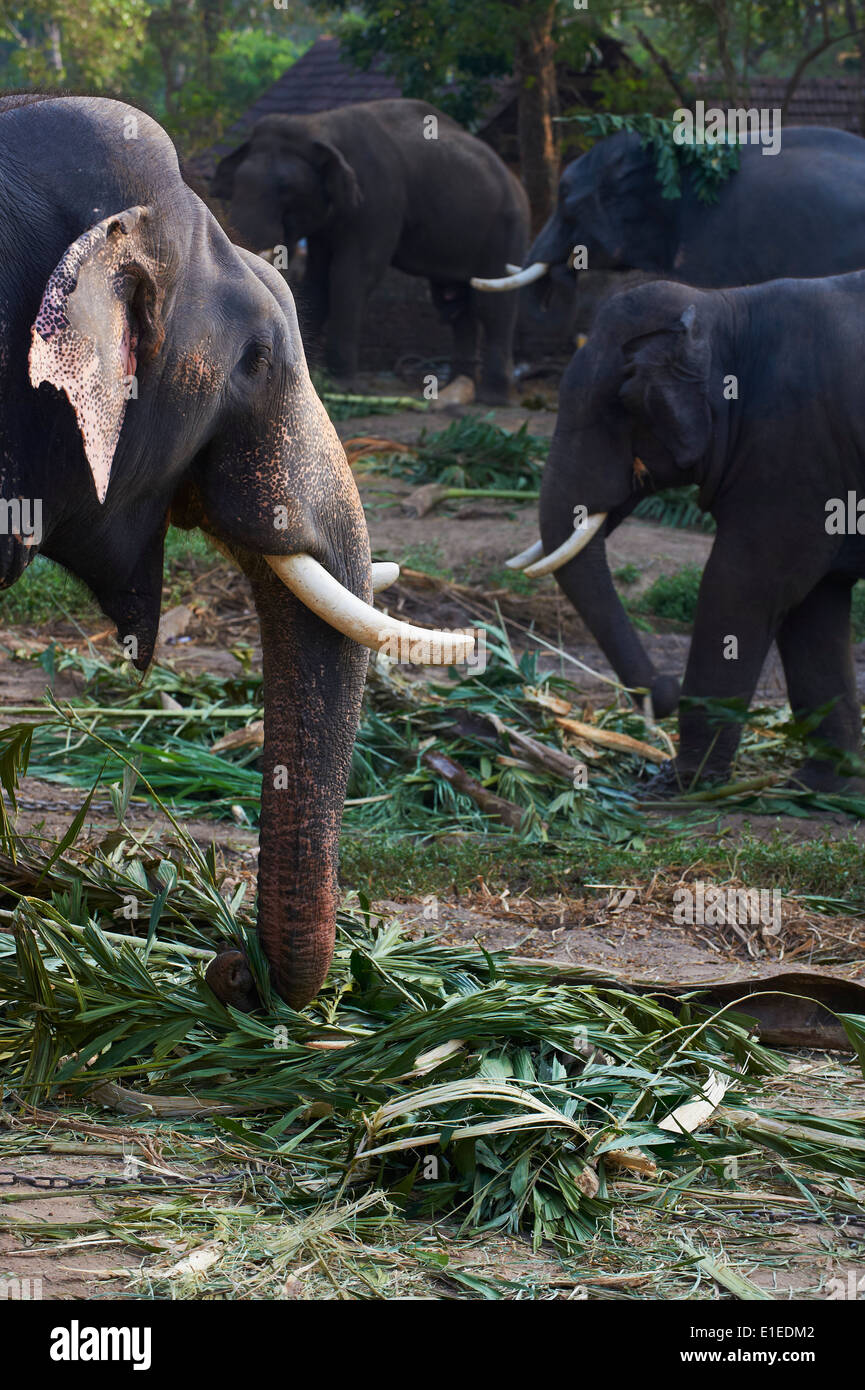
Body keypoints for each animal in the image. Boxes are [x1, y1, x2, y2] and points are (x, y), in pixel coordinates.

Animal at [211, 99, 529, 403]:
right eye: (236, 184)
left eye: (287, 190)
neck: (319, 123)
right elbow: (316, 282)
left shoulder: (378, 198)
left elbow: (352, 276)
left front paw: (340, 385)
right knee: (455, 303)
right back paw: (457, 389)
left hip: (508, 228)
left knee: (493, 304)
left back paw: (492, 399)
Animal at [506, 272, 865, 793]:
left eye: (625, 401)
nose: (661, 693)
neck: (724, 308)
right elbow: (814, 604)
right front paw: (821, 786)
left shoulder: (795, 451)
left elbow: (741, 585)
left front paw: (677, 783)